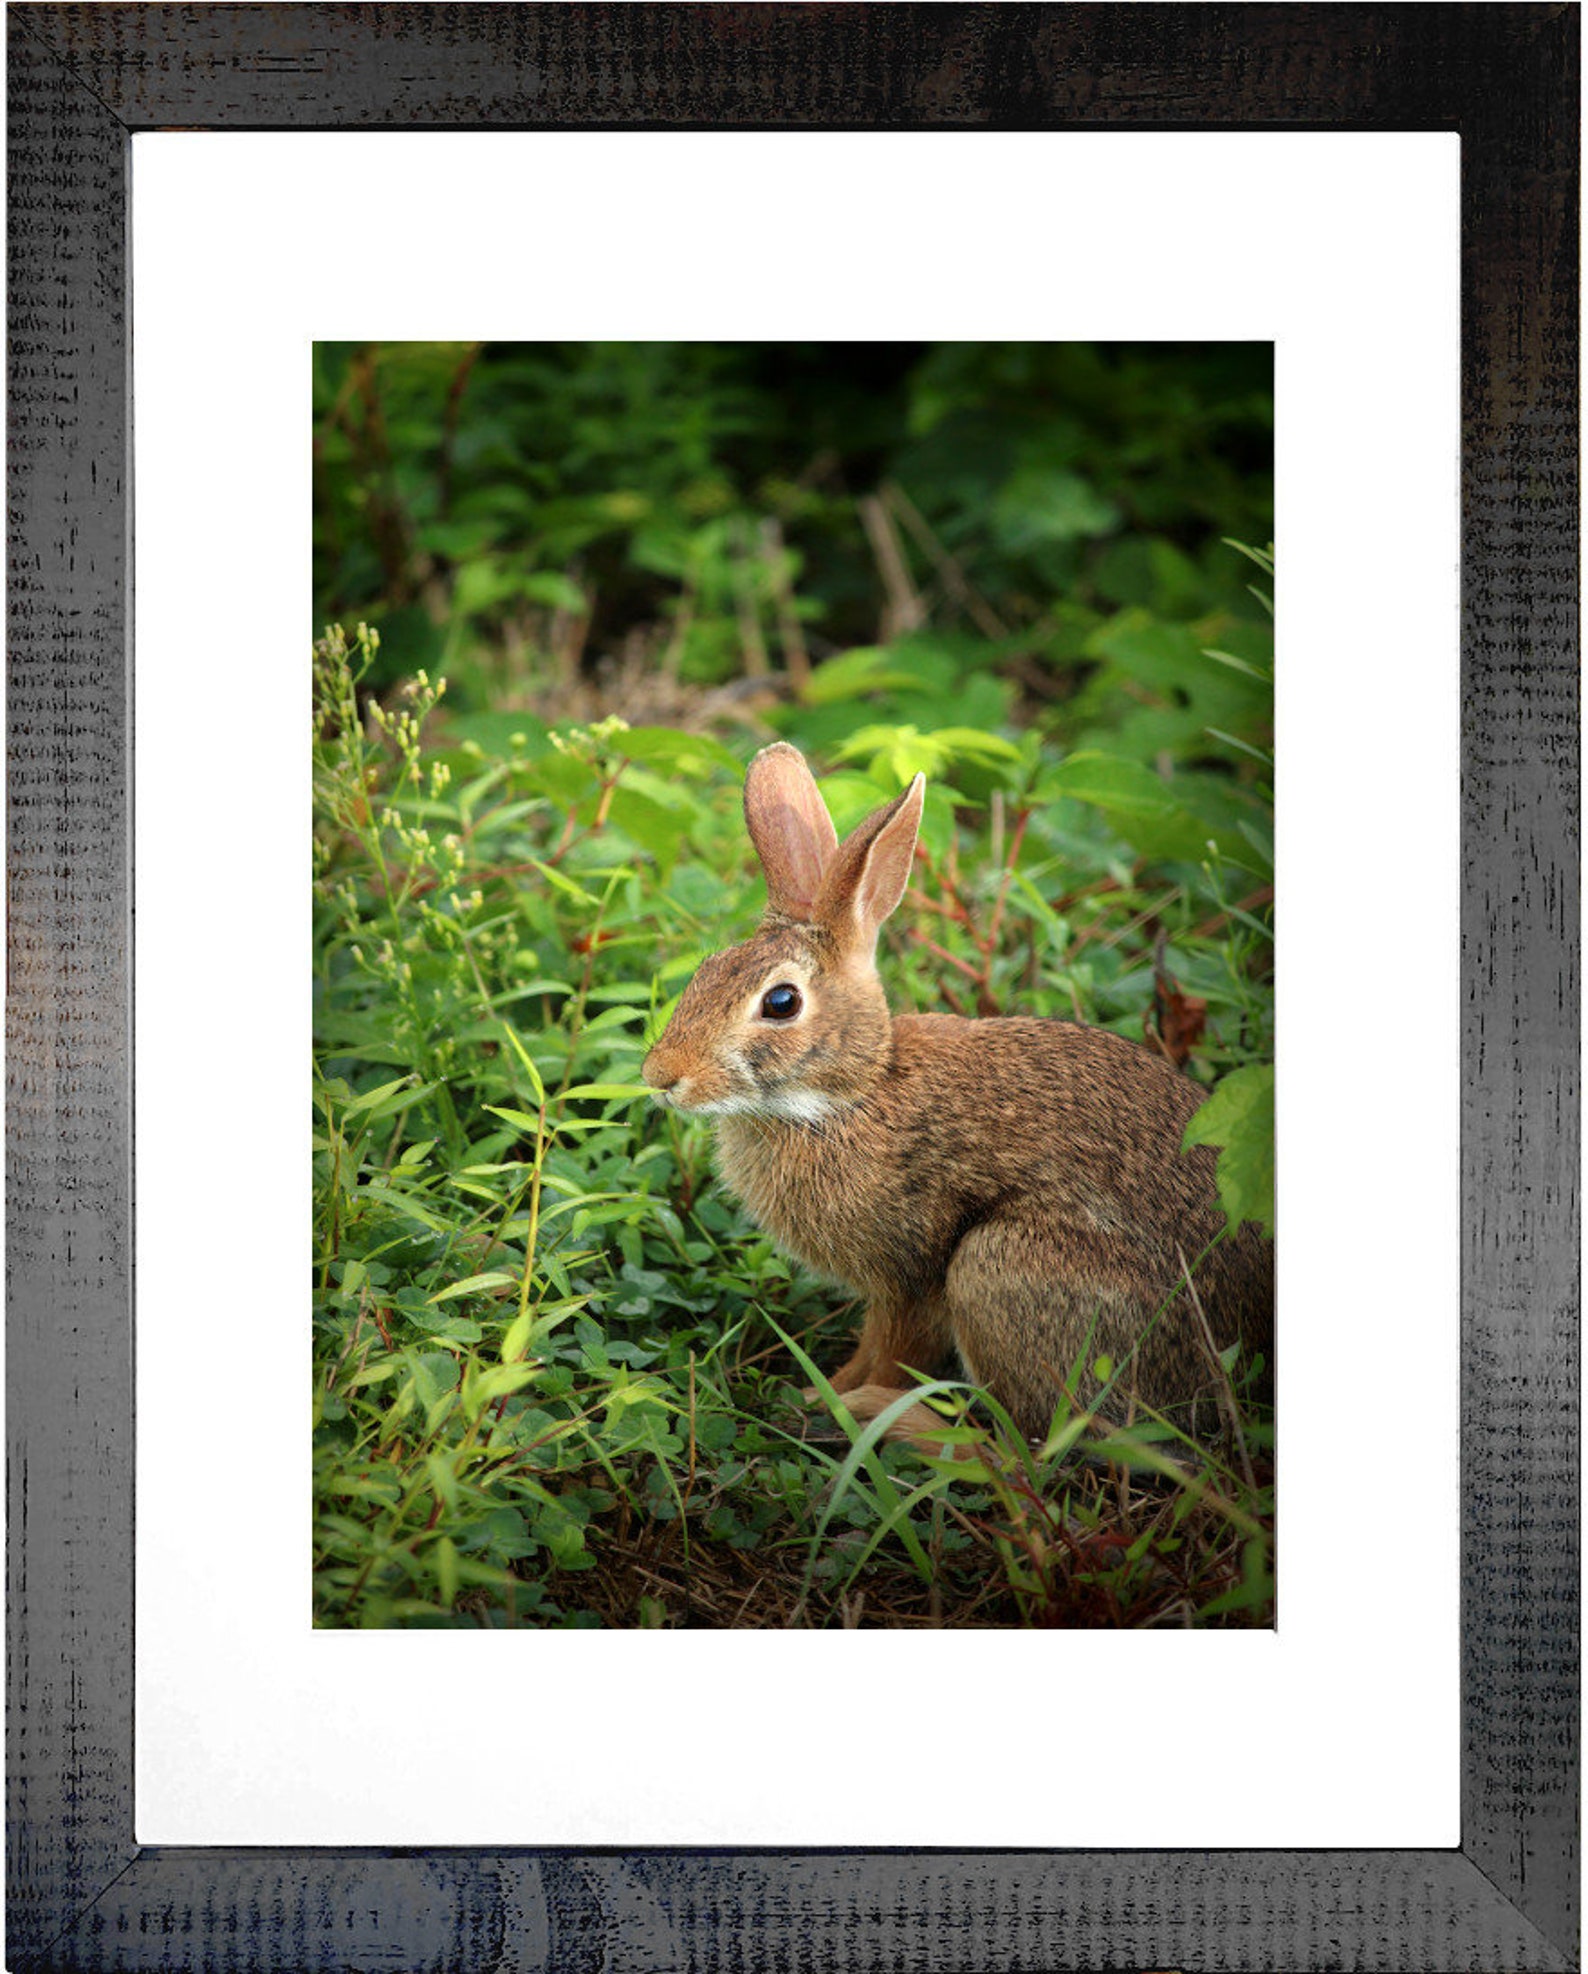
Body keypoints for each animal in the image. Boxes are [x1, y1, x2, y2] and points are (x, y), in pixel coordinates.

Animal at [642, 741, 1274, 1448]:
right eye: (706, 970)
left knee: (1036, 1443)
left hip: (995, 1270)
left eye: (780, 1002)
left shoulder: (913, 1276)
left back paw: (894, 1421)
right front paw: (813, 1393)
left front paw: (833, 1398)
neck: (852, 1094)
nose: (661, 1076)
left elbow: (891, 1353)